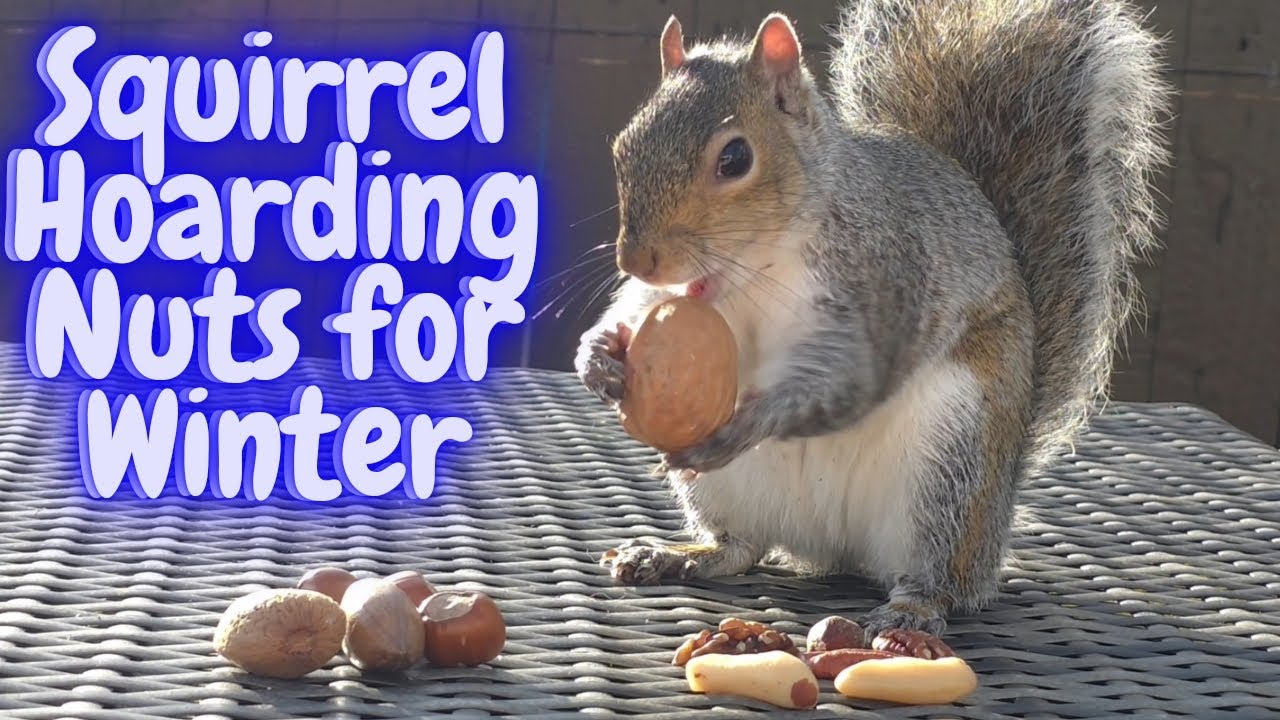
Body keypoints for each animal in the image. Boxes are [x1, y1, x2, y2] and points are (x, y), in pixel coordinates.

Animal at [575, 0, 1172, 648]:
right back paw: (676, 555)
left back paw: (911, 612)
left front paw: (751, 421)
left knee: (939, 576)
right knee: (740, 548)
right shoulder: (672, 293)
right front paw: (598, 357)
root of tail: (834, 549)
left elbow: (846, 381)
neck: (759, 266)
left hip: (951, 465)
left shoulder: (888, 281)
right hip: (725, 491)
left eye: (735, 158)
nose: (637, 258)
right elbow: (636, 307)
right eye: (623, 145)